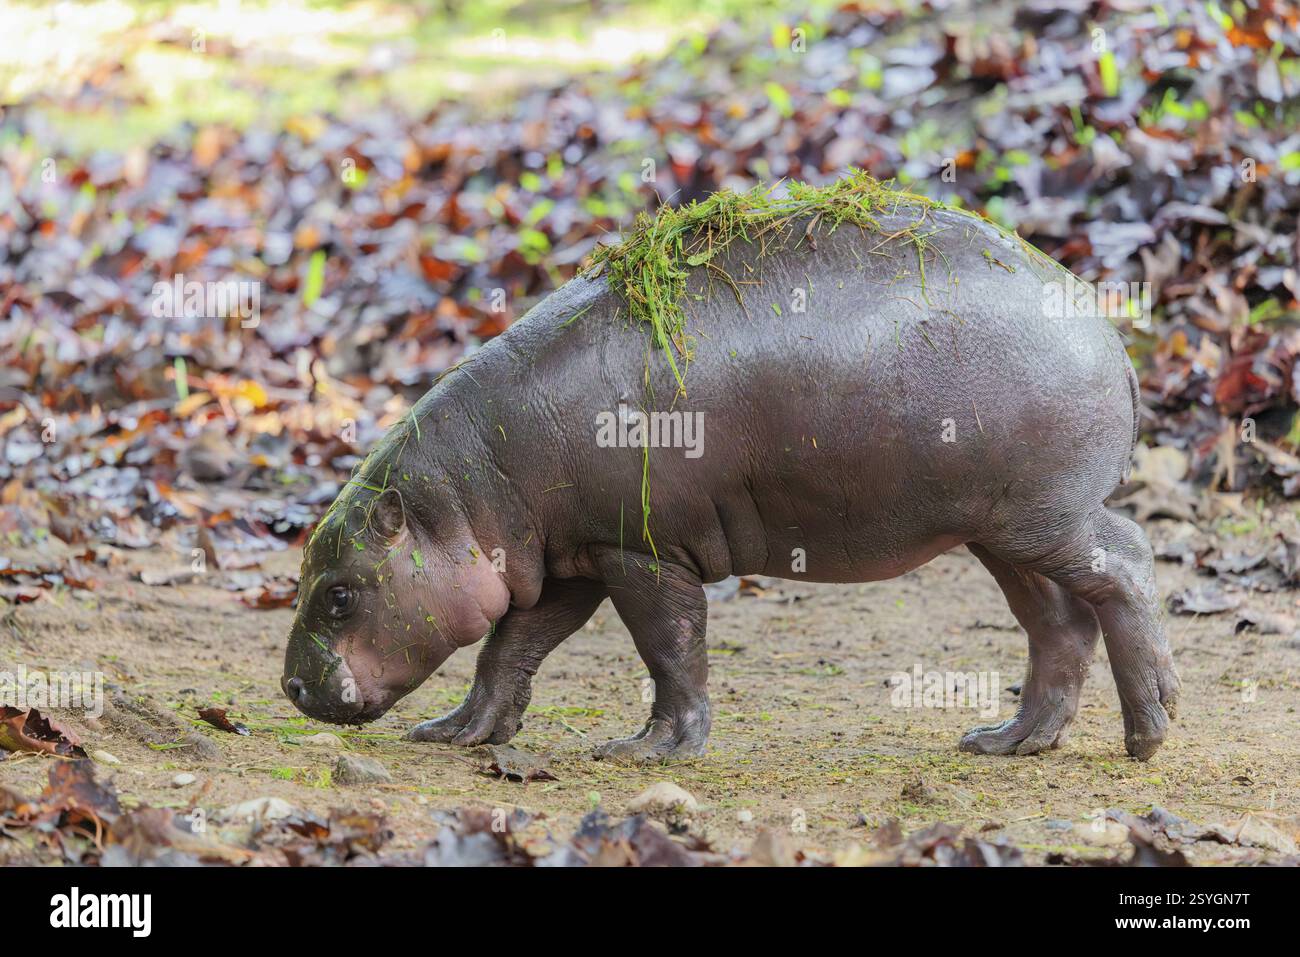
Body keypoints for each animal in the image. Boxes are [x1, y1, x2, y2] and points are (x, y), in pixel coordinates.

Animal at [281, 173, 1179, 763]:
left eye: (339, 594)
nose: (289, 687)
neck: (461, 495)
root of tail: (1105, 326)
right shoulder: (571, 557)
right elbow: (509, 648)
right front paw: (455, 733)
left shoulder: (639, 550)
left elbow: (671, 649)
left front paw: (647, 751)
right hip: (996, 526)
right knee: (1059, 622)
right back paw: (1007, 741)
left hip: (1042, 514)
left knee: (1128, 562)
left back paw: (1147, 735)